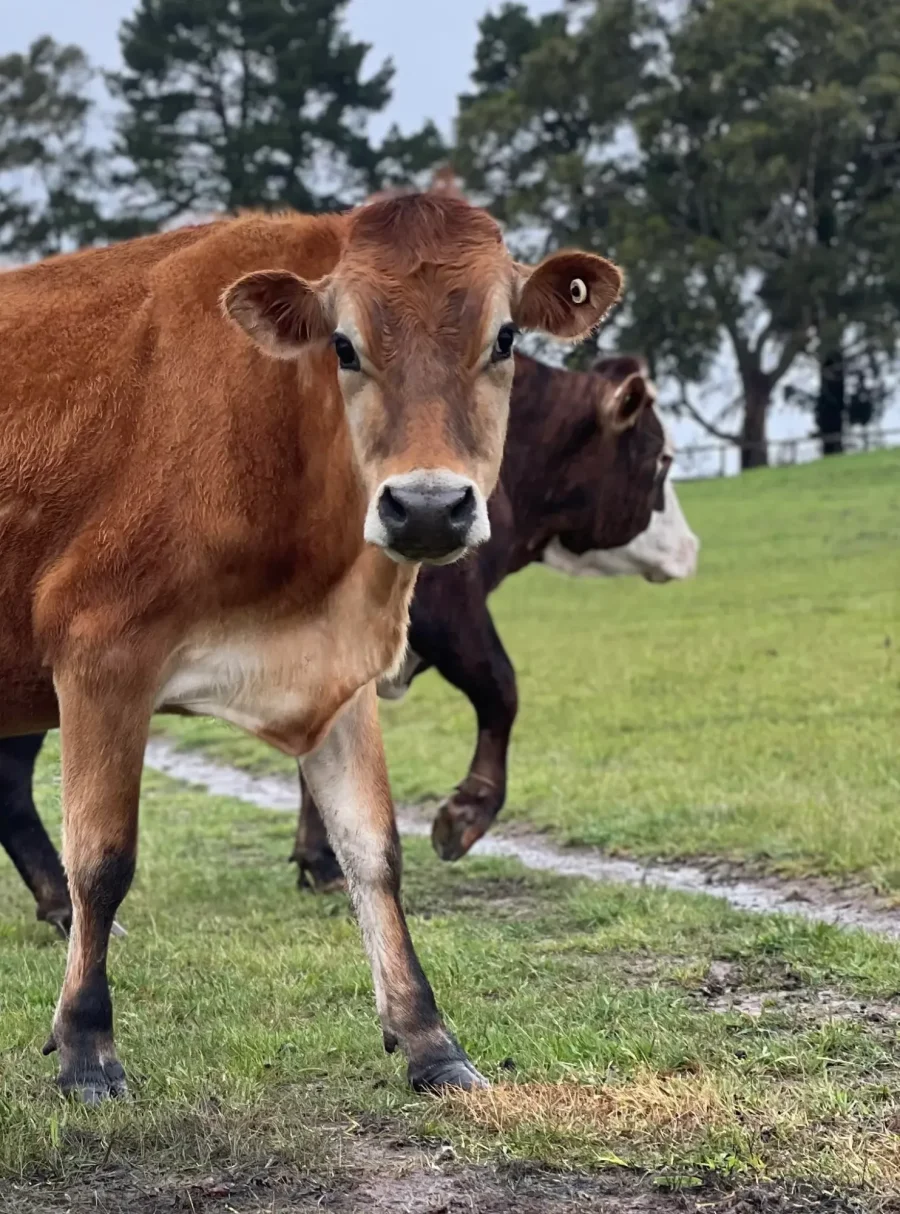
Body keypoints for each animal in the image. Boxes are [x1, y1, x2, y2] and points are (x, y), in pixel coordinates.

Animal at [0, 192, 624, 1102]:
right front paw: (86, 1046)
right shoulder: (98, 654)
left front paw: (427, 1036)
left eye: (505, 337)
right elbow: (103, 861)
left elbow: (374, 853)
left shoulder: (344, 669)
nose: (426, 506)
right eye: (344, 344)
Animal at [291, 353, 699, 888]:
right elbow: (501, 688)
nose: (692, 548)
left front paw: (318, 859)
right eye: (662, 458)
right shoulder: (447, 602)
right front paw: (468, 811)